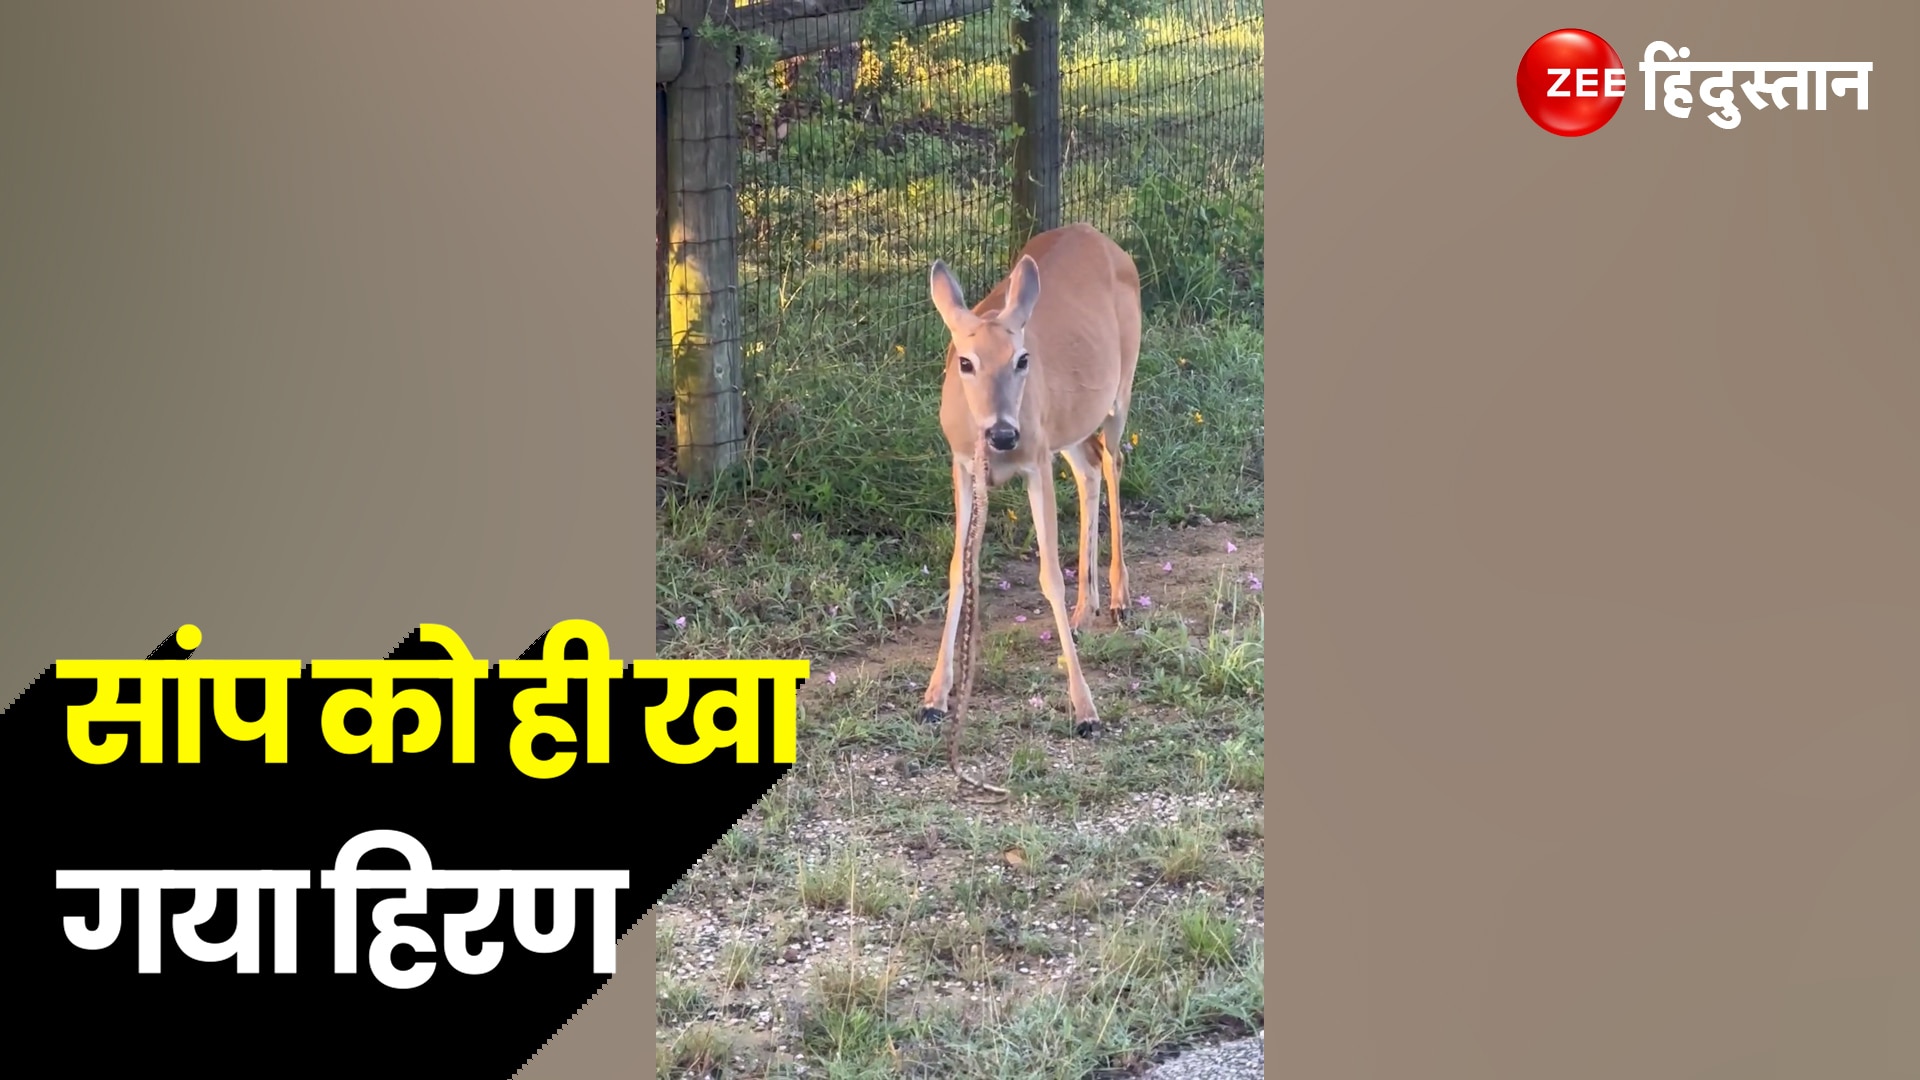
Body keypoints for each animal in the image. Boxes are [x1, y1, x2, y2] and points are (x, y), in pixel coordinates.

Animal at [916, 222, 1142, 798]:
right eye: (965, 361)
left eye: (1021, 359)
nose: (1002, 433)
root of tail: (1100, 236)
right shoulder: (962, 465)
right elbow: (958, 570)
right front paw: (934, 697)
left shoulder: (1035, 459)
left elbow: (1048, 575)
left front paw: (1086, 711)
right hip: (1070, 424)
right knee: (1089, 469)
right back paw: (1086, 612)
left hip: (1119, 388)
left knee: (1113, 462)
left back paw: (1119, 599)